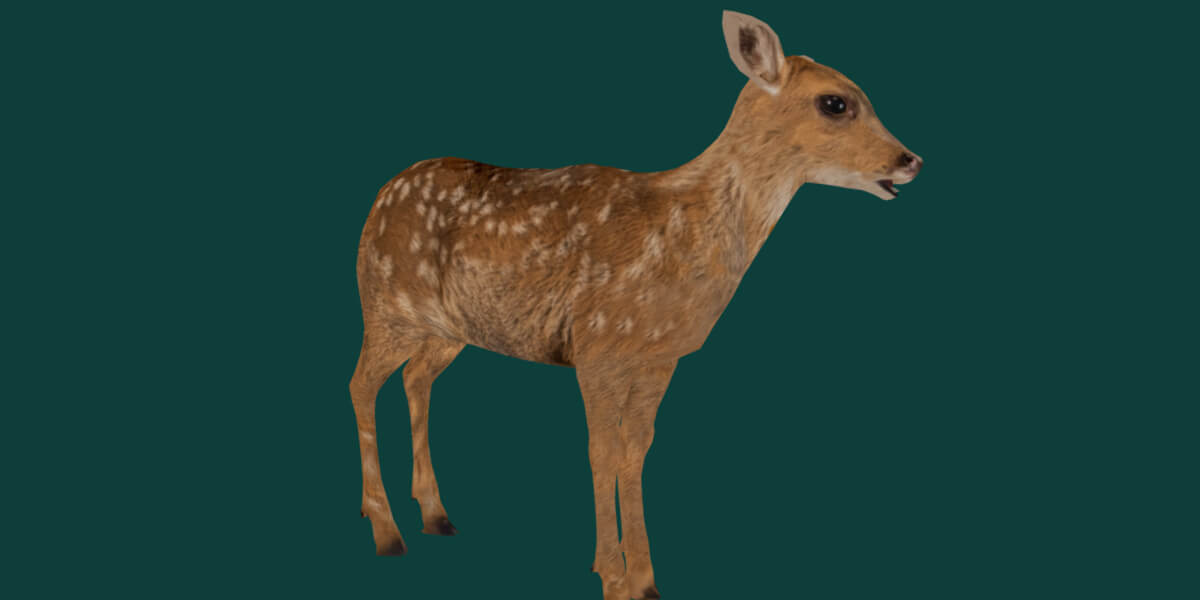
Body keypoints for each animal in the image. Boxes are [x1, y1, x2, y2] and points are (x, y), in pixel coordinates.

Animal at [350, 10, 922, 600]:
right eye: (836, 102)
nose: (911, 161)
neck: (682, 230)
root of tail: (381, 196)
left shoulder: (658, 357)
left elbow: (635, 452)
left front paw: (644, 580)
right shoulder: (598, 345)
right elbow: (601, 452)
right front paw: (610, 575)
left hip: (448, 330)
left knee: (415, 379)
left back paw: (435, 515)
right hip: (387, 305)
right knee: (361, 385)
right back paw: (387, 531)